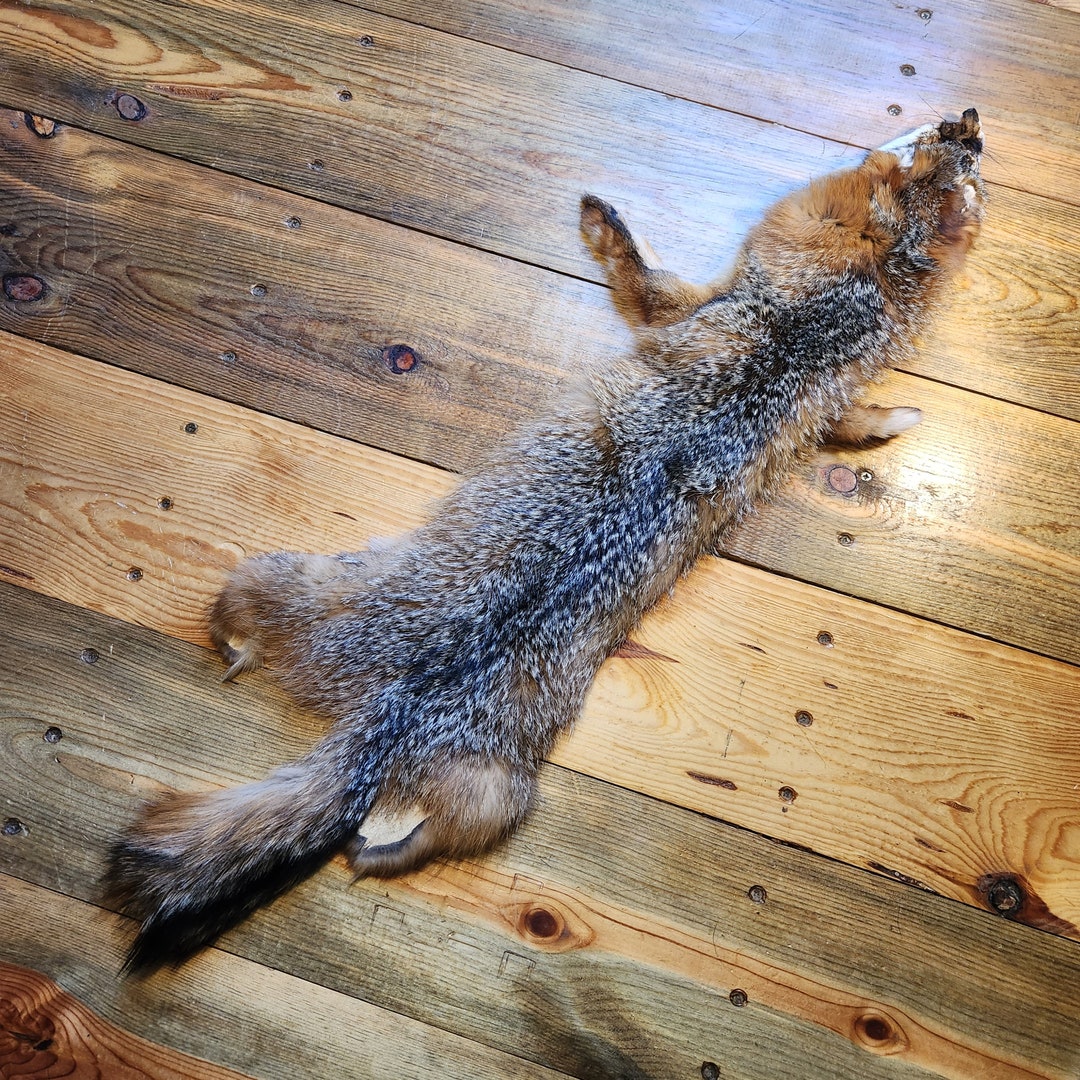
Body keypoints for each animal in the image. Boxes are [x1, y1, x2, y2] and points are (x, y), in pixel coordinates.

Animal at [105, 109, 986, 972]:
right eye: (947, 149)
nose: (973, 122)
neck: (819, 320)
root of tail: (398, 714)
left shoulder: (693, 308)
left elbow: (637, 267)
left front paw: (606, 224)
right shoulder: (798, 378)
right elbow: (855, 420)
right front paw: (896, 420)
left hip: (396, 698)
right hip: (459, 758)